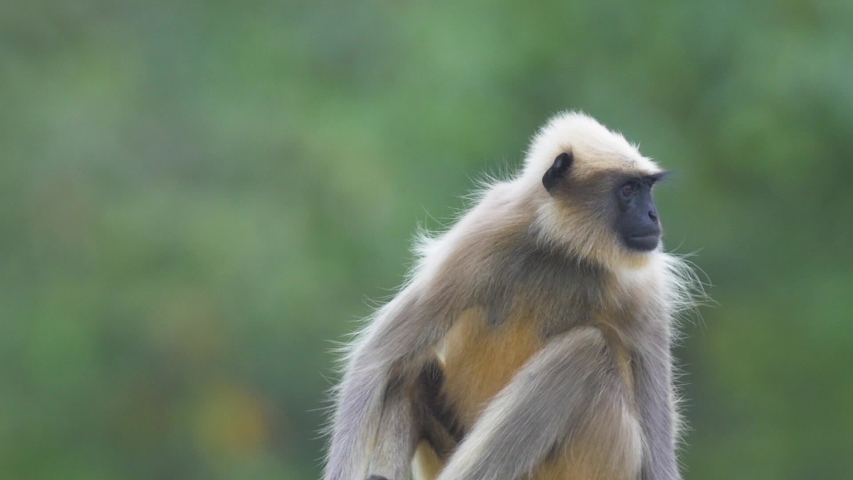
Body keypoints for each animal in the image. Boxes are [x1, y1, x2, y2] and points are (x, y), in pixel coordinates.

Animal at [323, 112, 700, 480]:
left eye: (646, 190)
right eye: (628, 190)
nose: (652, 215)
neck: (562, 250)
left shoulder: (642, 286)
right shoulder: (484, 235)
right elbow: (377, 360)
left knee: (584, 352)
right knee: (412, 367)